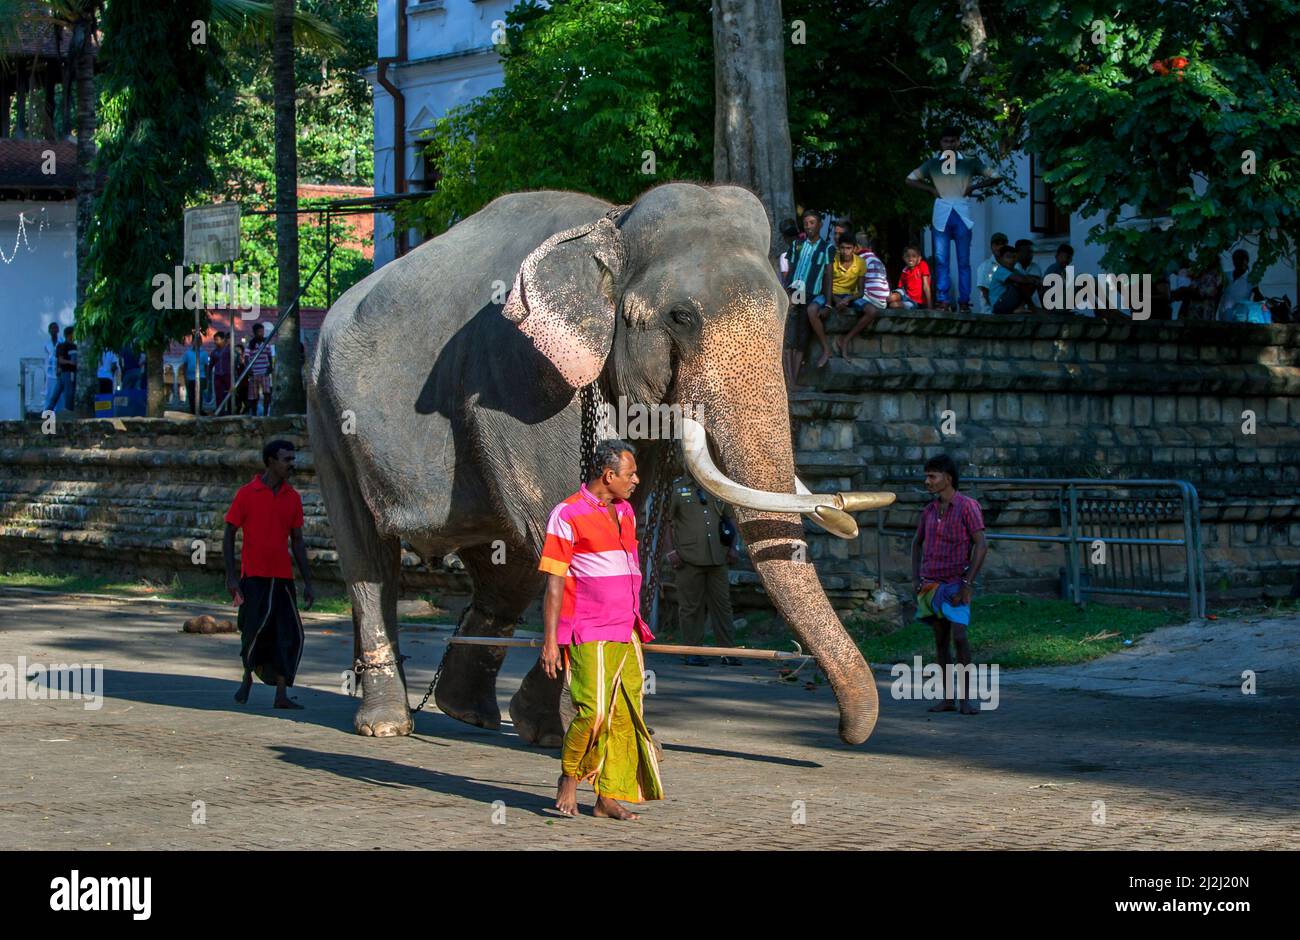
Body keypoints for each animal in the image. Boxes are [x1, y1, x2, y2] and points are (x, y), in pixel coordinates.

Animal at [306, 182, 891, 746]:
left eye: (785, 315)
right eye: (681, 317)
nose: (844, 732)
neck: (613, 222)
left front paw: (548, 729)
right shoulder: (520, 382)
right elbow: (557, 523)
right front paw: (582, 725)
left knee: (504, 563)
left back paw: (468, 712)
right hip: (330, 416)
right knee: (367, 555)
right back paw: (387, 724)